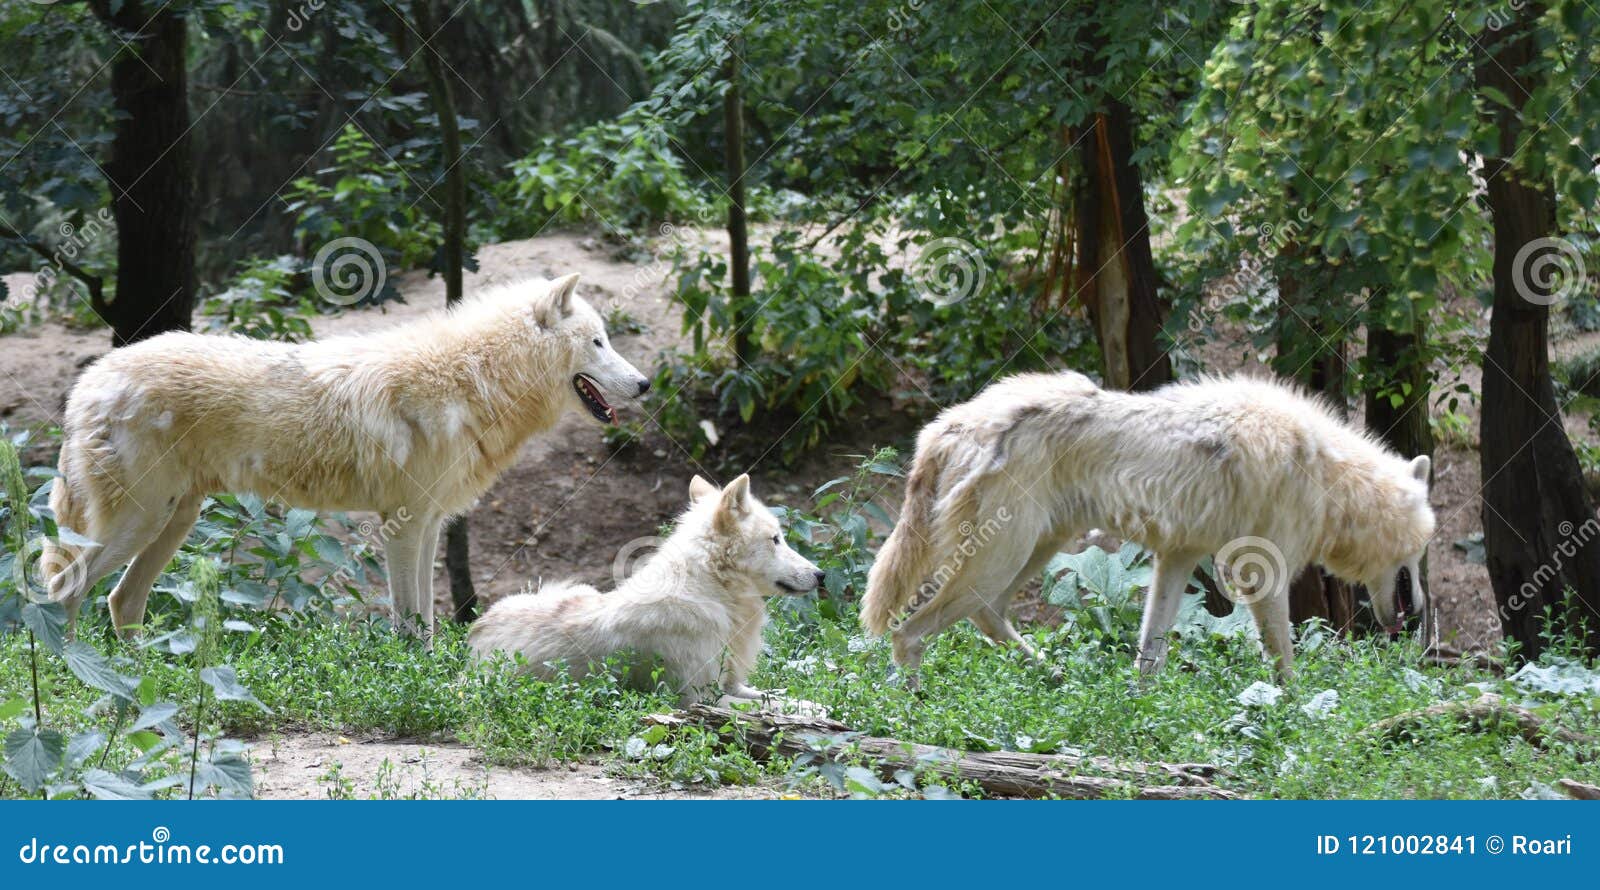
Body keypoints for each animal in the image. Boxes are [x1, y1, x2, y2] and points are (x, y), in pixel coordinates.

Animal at [43, 274, 649, 638]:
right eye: (599, 342)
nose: (643, 384)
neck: (470, 377)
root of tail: (89, 381)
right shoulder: (402, 524)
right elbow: (410, 623)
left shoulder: (429, 525)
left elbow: (428, 621)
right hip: (140, 521)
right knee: (64, 589)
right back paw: (84, 678)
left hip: (173, 521)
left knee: (121, 601)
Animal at [468, 474, 824, 706]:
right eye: (775, 540)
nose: (820, 575)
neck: (711, 593)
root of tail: (474, 634)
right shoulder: (699, 700)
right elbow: (776, 707)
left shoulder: (732, 685)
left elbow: (784, 699)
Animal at [861, 371, 1435, 683]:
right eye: (1421, 552)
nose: (1420, 609)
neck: (1328, 477)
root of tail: (946, 426)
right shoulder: (1261, 575)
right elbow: (1285, 662)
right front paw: (1298, 716)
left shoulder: (1176, 558)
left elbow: (1150, 657)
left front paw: (1140, 710)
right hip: (1000, 559)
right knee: (908, 634)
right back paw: (913, 711)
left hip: (1031, 553)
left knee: (988, 617)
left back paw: (1058, 679)